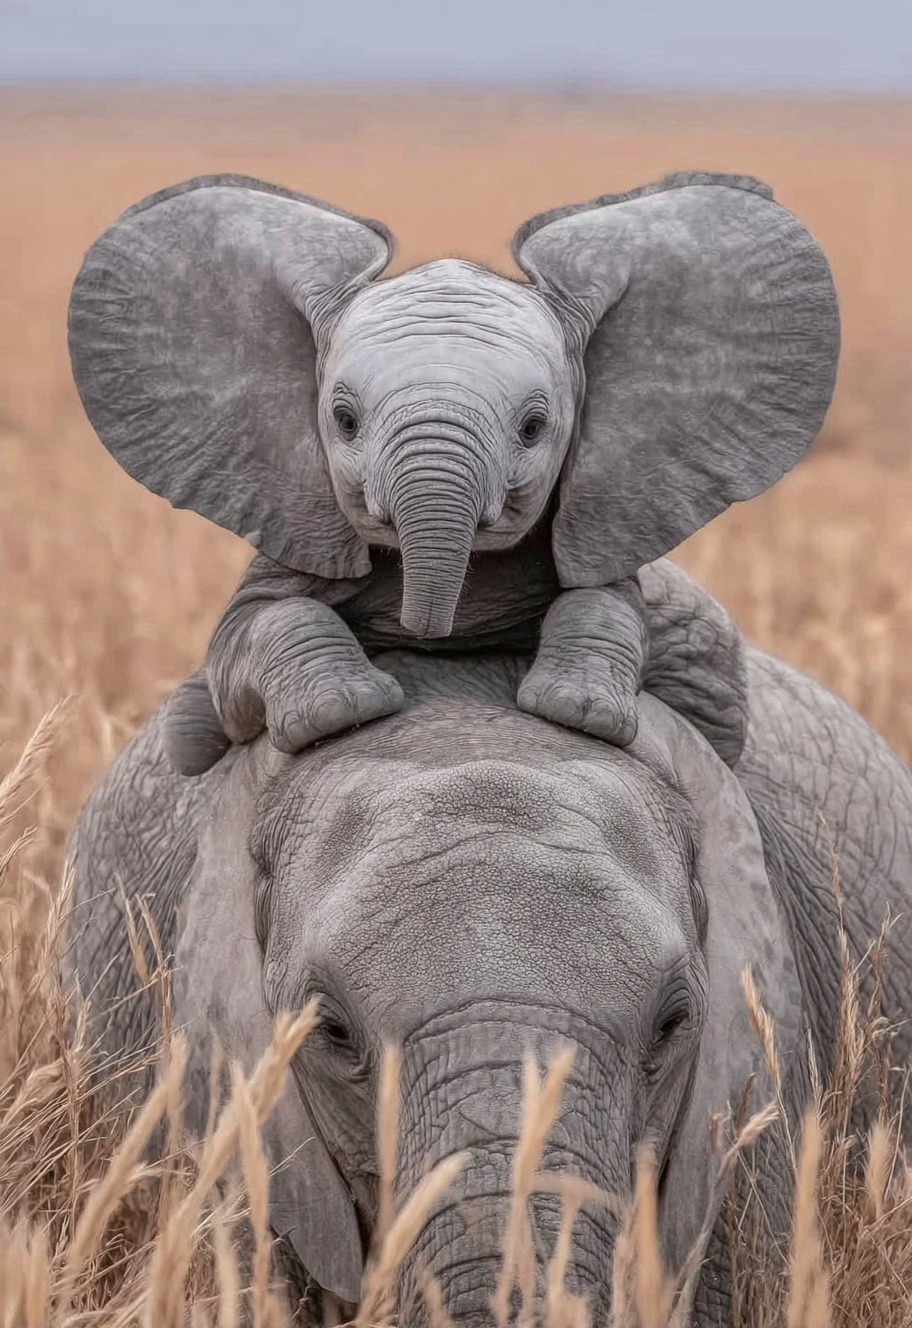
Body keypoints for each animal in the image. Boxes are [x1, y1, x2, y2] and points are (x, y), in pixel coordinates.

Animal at [66, 171, 839, 775]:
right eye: (344, 420)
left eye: (534, 428)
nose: (424, 634)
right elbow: (247, 635)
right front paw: (346, 710)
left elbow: (610, 605)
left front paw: (578, 710)